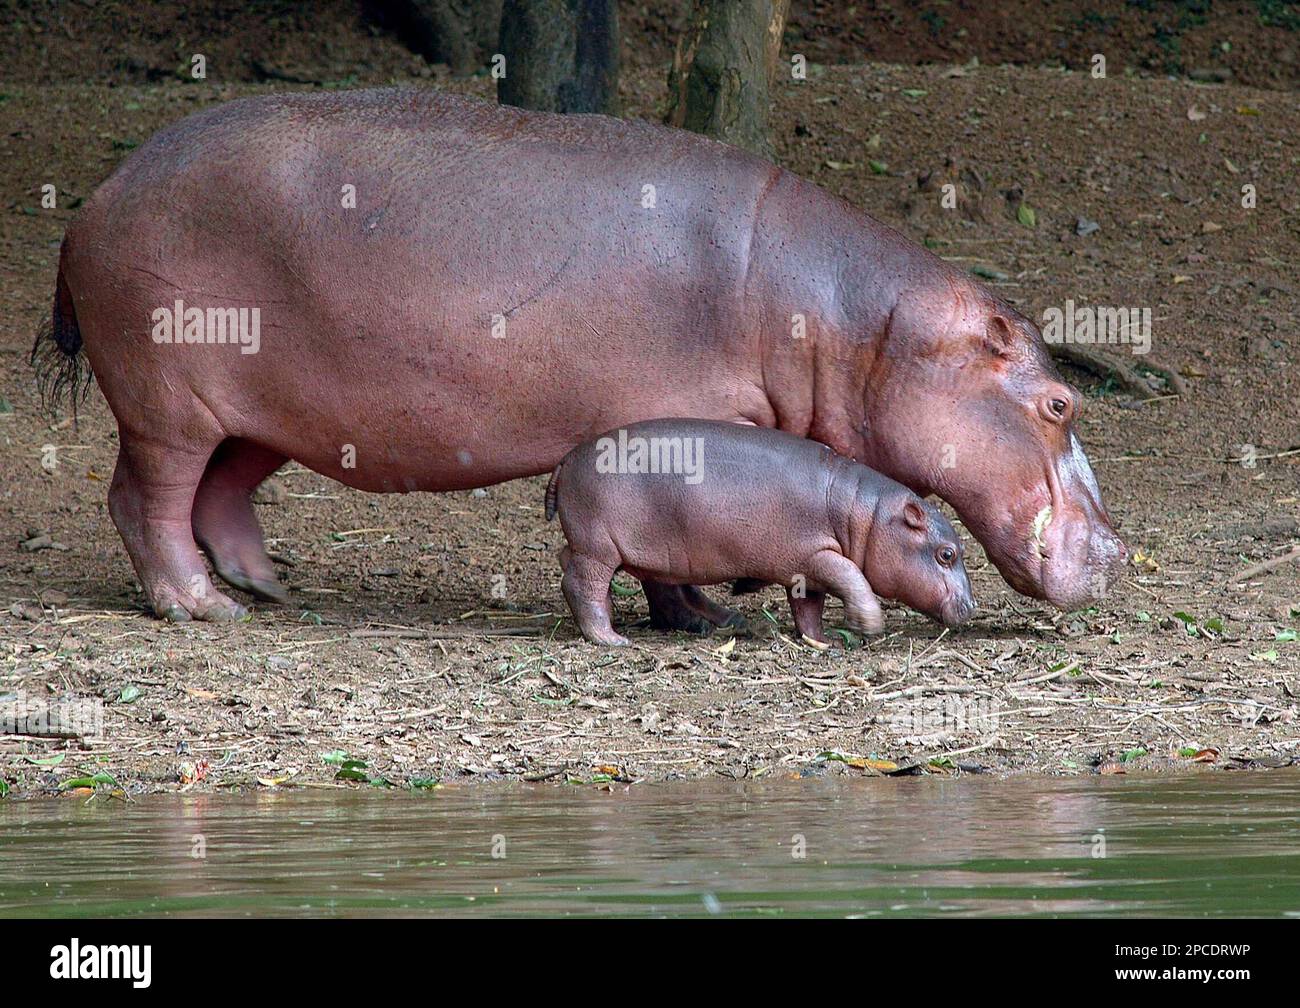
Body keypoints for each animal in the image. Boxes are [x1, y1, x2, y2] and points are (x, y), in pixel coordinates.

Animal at [545, 419, 976, 646]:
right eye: (947, 554)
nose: (972, 606)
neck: (866, 514)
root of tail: (567, 458)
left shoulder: (805, 570)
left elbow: (809, 607)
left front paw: (819, 641)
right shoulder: (819, 553)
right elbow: (853, 577)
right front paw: (866, 626)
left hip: (591, 543)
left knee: (569, 564)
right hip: (599, 547)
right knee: (583, 584)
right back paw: (612, 639)